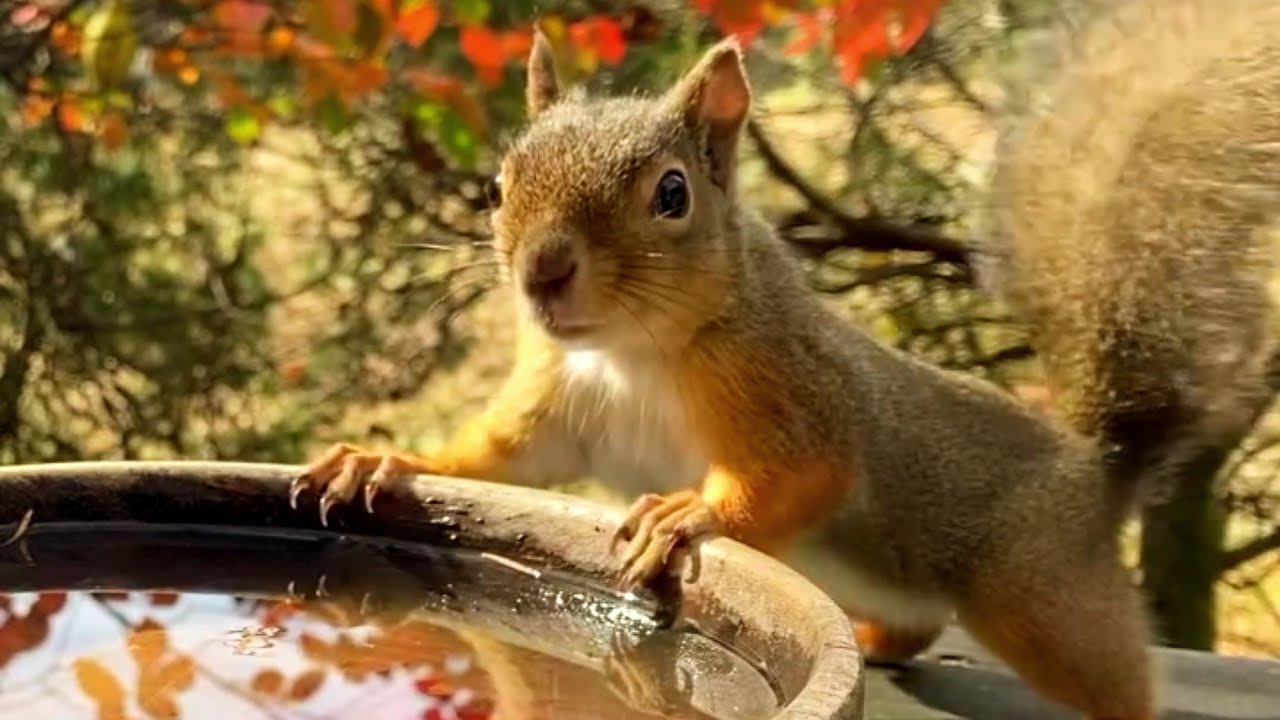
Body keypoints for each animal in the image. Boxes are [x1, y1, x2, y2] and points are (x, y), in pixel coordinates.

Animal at [291, 0, 1280, 717]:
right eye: (500, 186)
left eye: (672, 195)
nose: (544, 272)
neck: (625, 354)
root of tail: (1096, 469)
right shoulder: (554, 408)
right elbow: (495, 462)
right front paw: (383, 460)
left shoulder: (787, 389)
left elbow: (803, 475)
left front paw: (685, 515)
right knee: (915, 631)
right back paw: (878, 645)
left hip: (1043, 597)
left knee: (1112, 681)